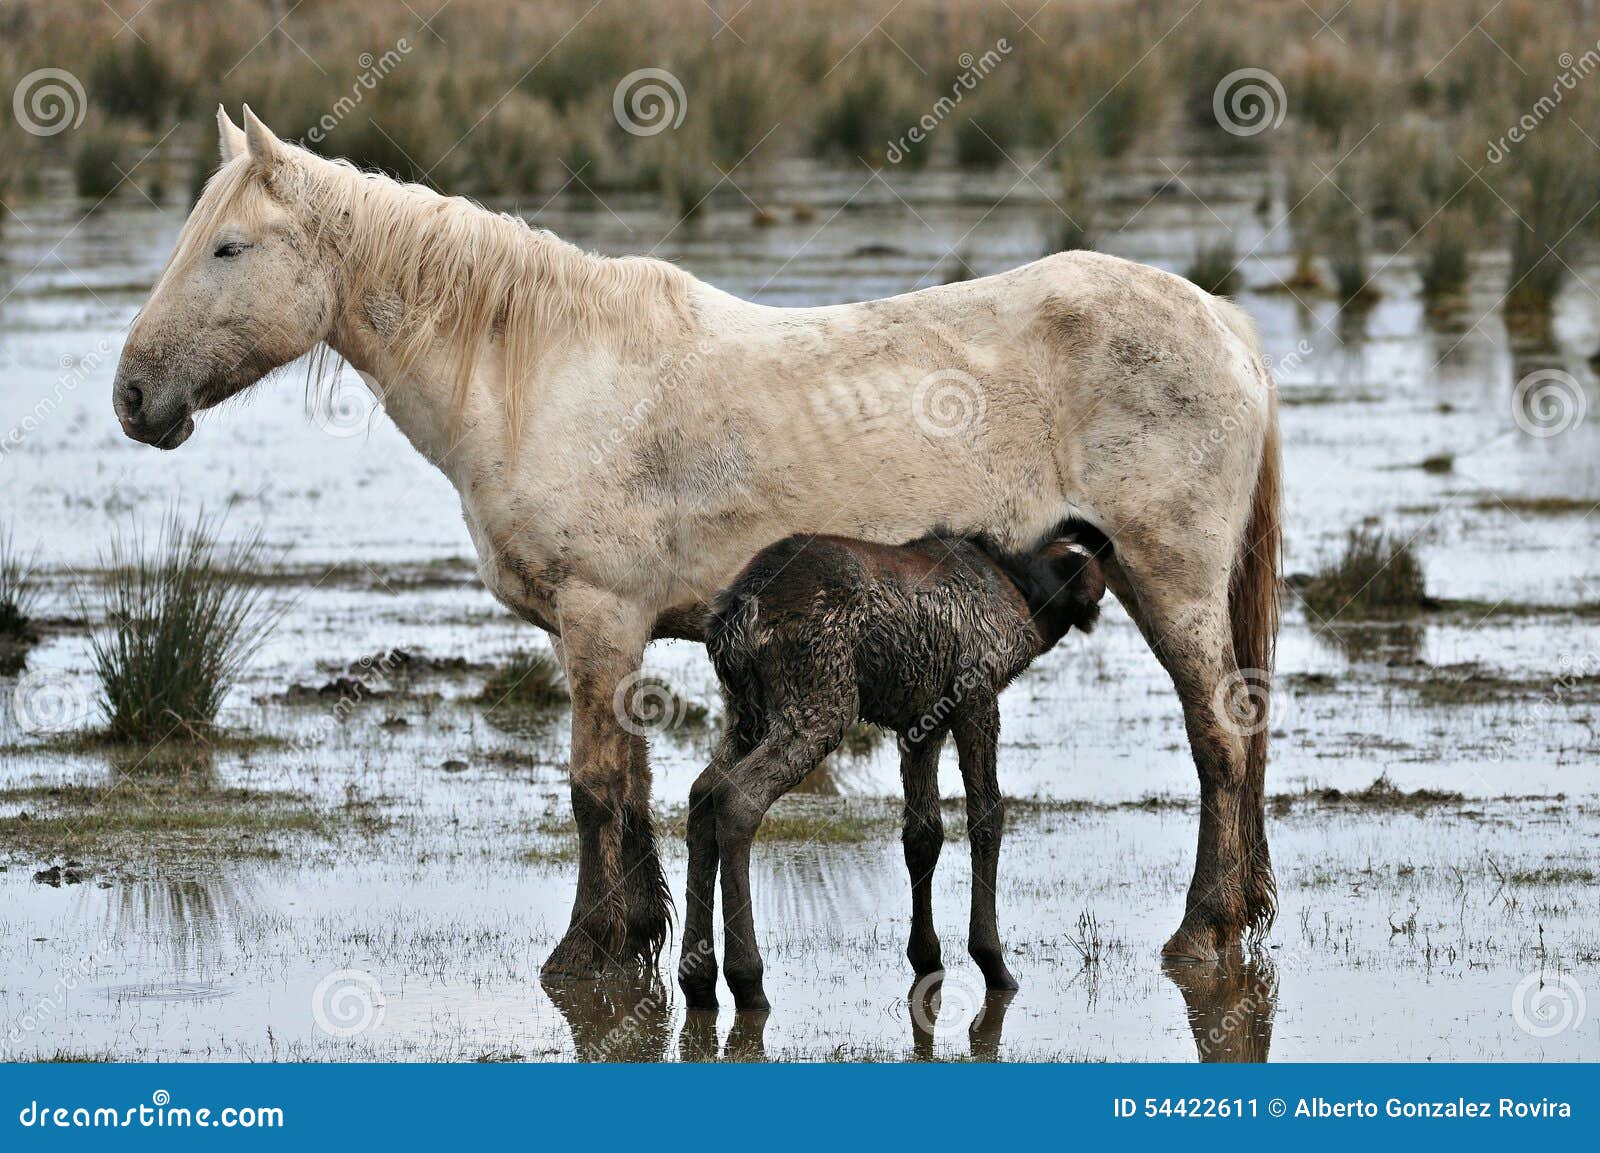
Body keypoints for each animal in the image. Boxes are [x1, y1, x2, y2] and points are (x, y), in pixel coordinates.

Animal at [685, 524, 1106, 1010]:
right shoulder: (977, 696)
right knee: (737, 798)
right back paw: (747, 979)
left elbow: (923, 834)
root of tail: (737, 612)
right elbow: (987, 817)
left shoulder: (921, 725)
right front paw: (992, 962)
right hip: (819, 706)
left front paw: (926, 957)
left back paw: (697, 979)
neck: (1023, 590)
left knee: (702, 793)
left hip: (745, 715)